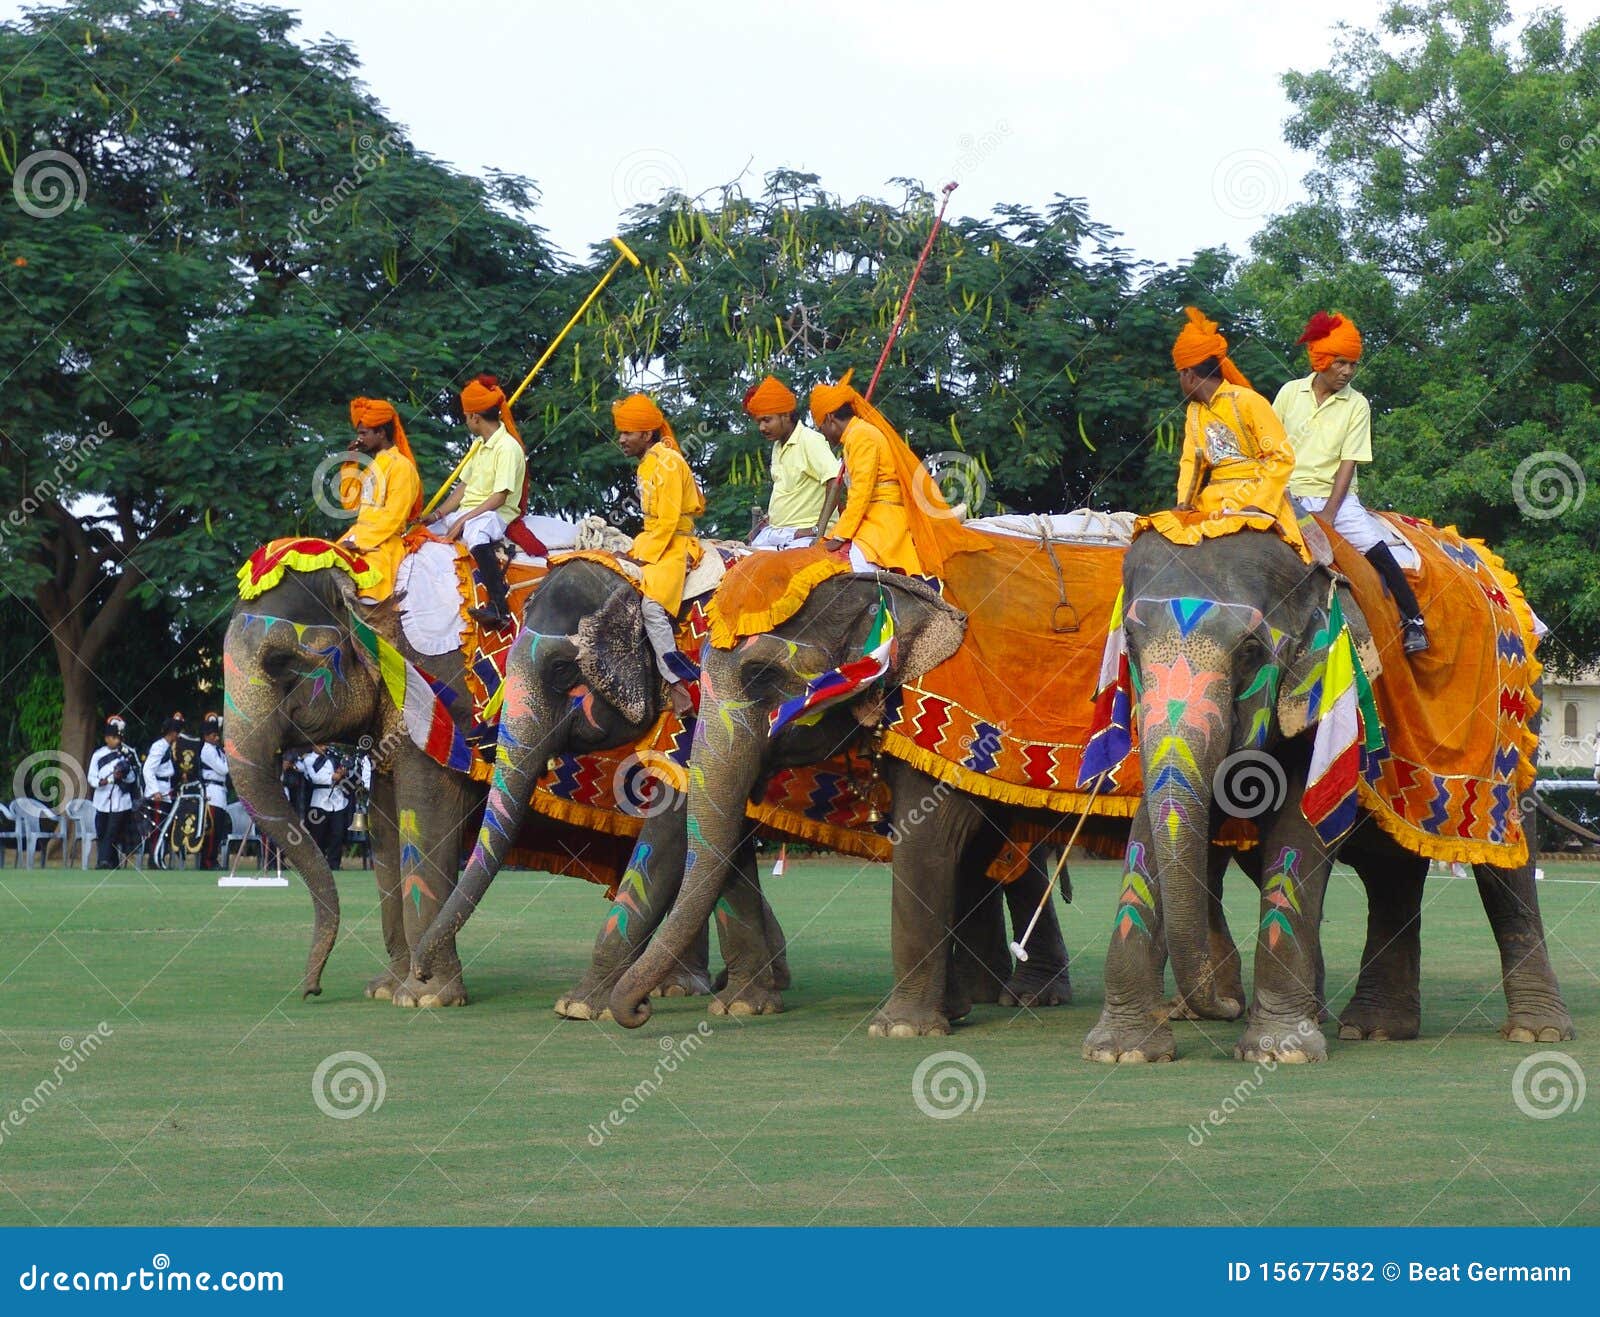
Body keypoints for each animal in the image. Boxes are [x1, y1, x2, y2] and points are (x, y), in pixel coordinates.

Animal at [402, 556, 791, 1015]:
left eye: (561, 669)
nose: (421, 971)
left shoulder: (707, 704)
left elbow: (674, 825)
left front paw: (579, 1007)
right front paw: (746, 1003)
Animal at [606, 570, 1083, 1036]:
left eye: (761, 676)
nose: (642, 1009)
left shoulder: (945, 732)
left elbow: (929, 837)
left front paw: (900, 1029)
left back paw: (1031, 997)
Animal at [1081, 529, 1574, 1064]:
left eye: (1251, 650)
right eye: (1130, 643)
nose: (1222, 1007)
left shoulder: (1332, 689)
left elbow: (1299, 828)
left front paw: (1279, 1053)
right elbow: (1152, 828)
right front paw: (1121, 1052)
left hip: (1515, 729)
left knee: (1507, 864)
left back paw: (1537, 1033)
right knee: (1390, 871)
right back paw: (1377, 1029)